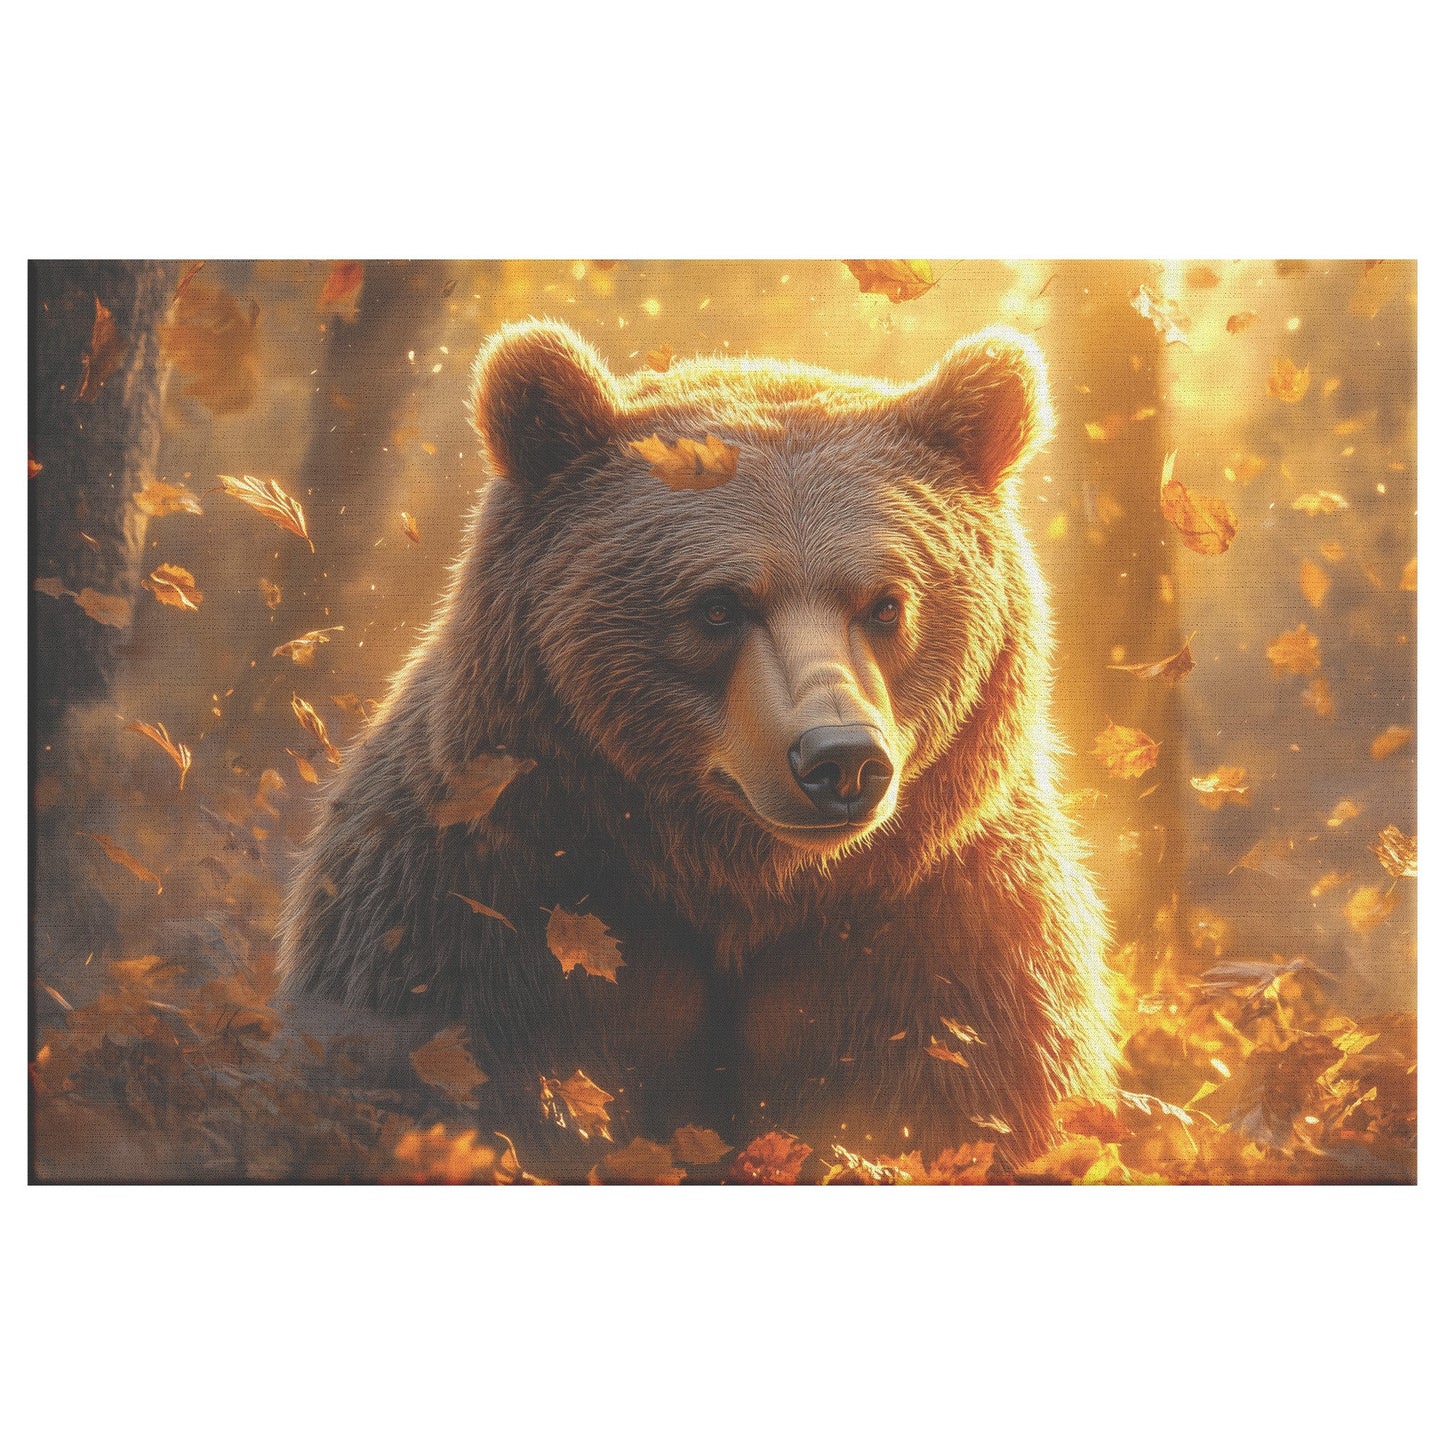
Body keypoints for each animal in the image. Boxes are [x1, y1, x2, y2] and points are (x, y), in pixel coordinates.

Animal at [277, 317, 1117, 1178]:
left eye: (885, 603)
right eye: (718, 605)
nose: (840, 759)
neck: (735, 886)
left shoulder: (944, 932)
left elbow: (959, 1102)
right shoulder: (475, 908)